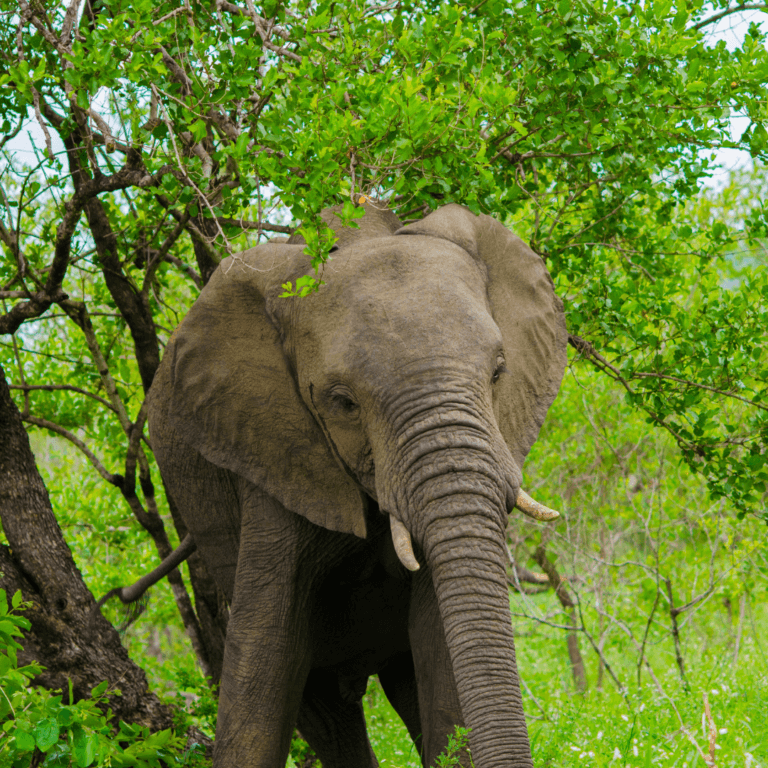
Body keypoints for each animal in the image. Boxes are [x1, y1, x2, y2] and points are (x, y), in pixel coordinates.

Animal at [145, 202, 568, 768]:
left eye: (499, 373)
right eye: (342, 402)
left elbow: (443, 668)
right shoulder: (270, 454)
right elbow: (263, 665)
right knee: (323, 710)